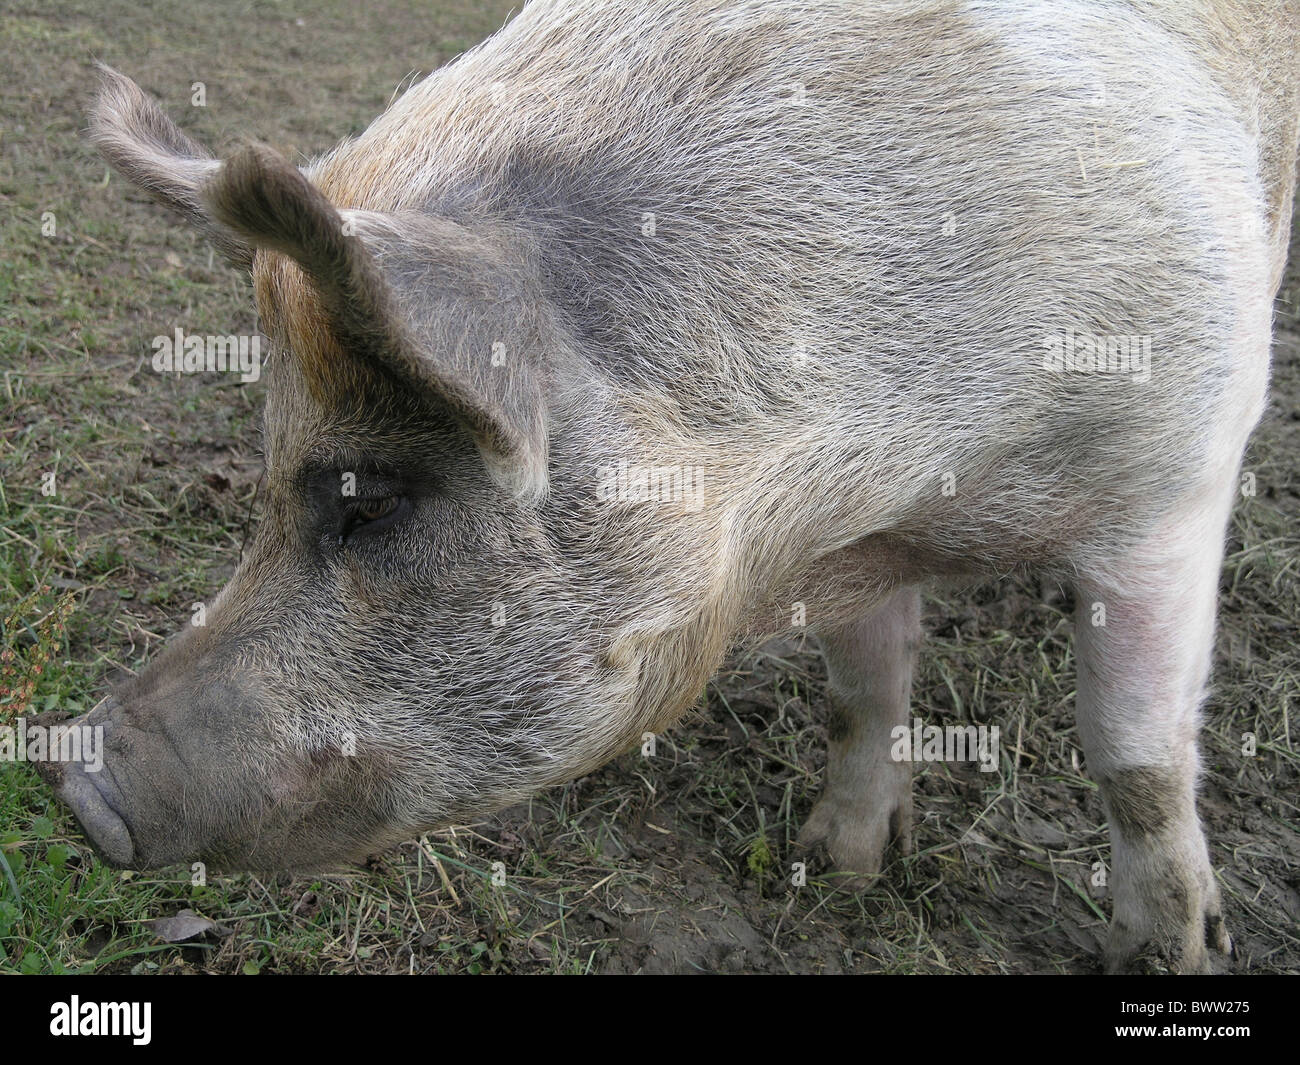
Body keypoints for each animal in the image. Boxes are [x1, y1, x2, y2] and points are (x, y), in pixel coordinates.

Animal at [44, 0, 1299, 974]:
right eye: (264, 488)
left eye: (374, 502)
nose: (74, 781)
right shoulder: (846, 546)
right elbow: (863, 690)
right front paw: (832, 870)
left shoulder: (1177, 473)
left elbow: (1135, 751)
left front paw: (1167, 954)